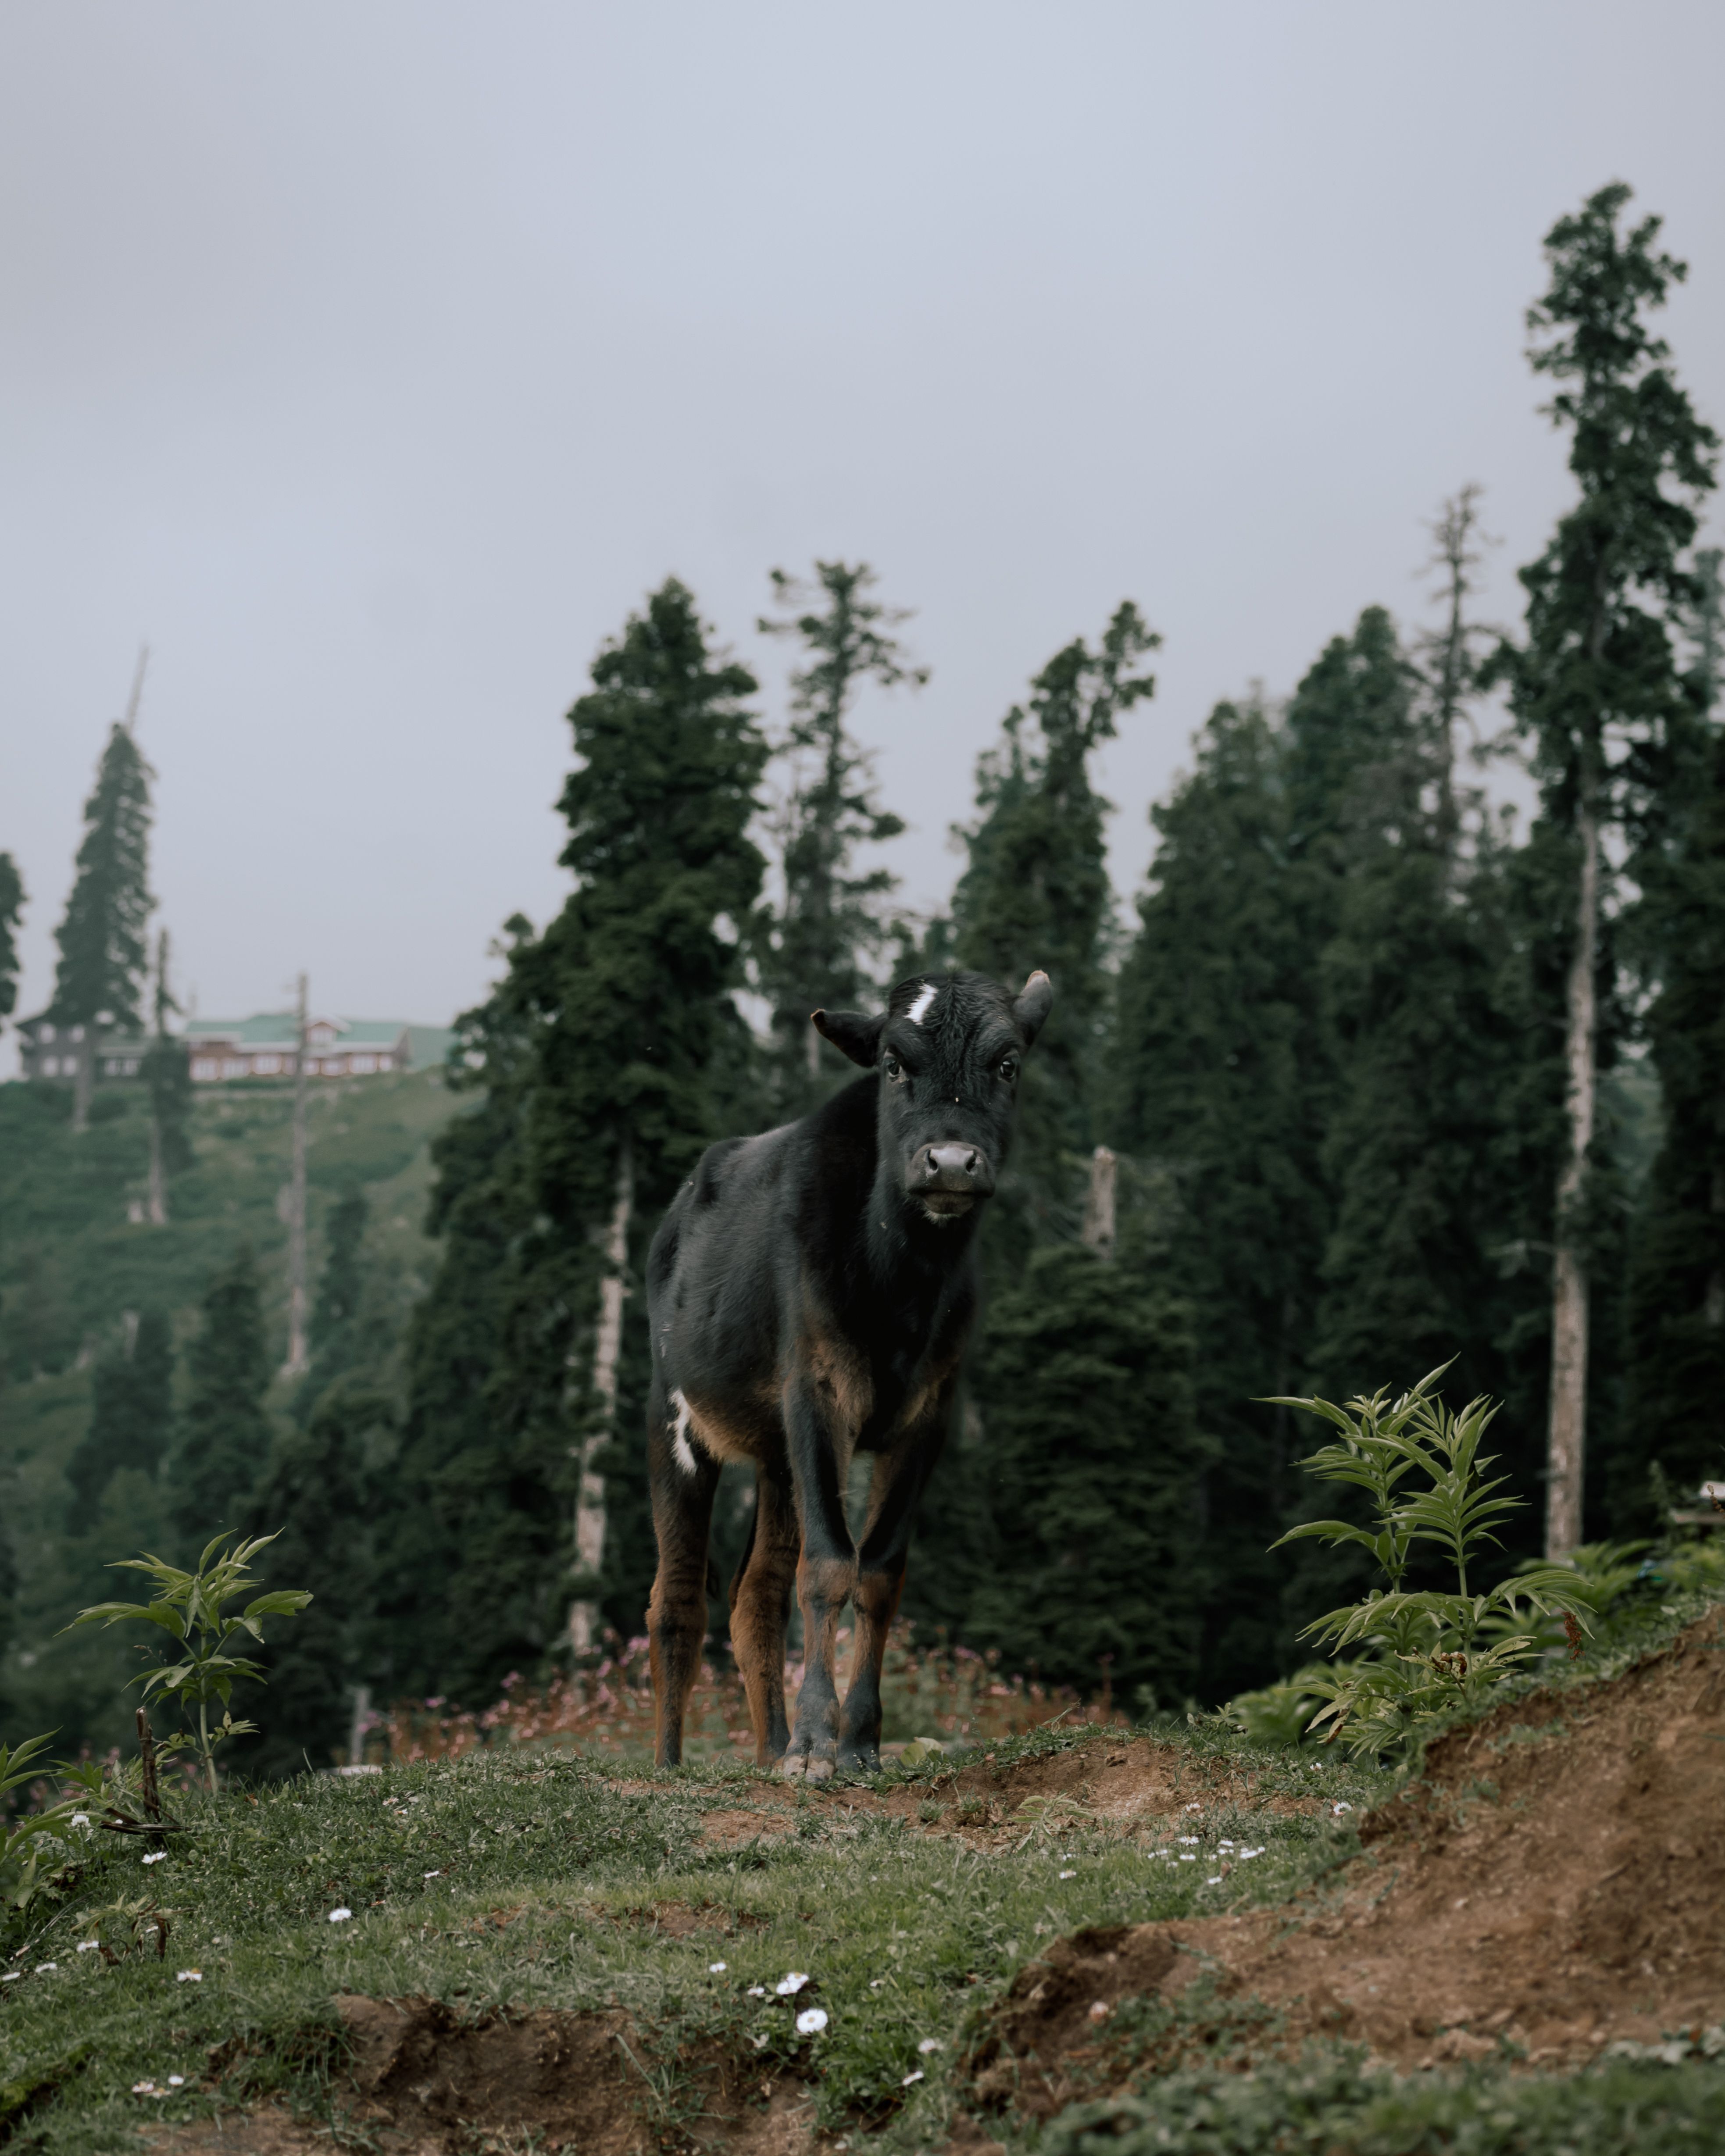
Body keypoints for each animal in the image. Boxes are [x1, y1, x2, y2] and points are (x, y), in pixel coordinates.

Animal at [644, 967, 1053, 1778]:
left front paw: (858, 1739)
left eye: (1007, 1064)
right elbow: (830, 1566)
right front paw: (813, 1744)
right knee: (677, 1602)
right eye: (893, 1065)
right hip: (673, 1418)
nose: (950, 1163)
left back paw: (768, 1750)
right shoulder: (817, 1397)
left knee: (756, 1595)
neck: (900, 1289)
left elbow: (879, 1572)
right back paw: (672, 1764)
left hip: (775, 1459)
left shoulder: (928, 1414)